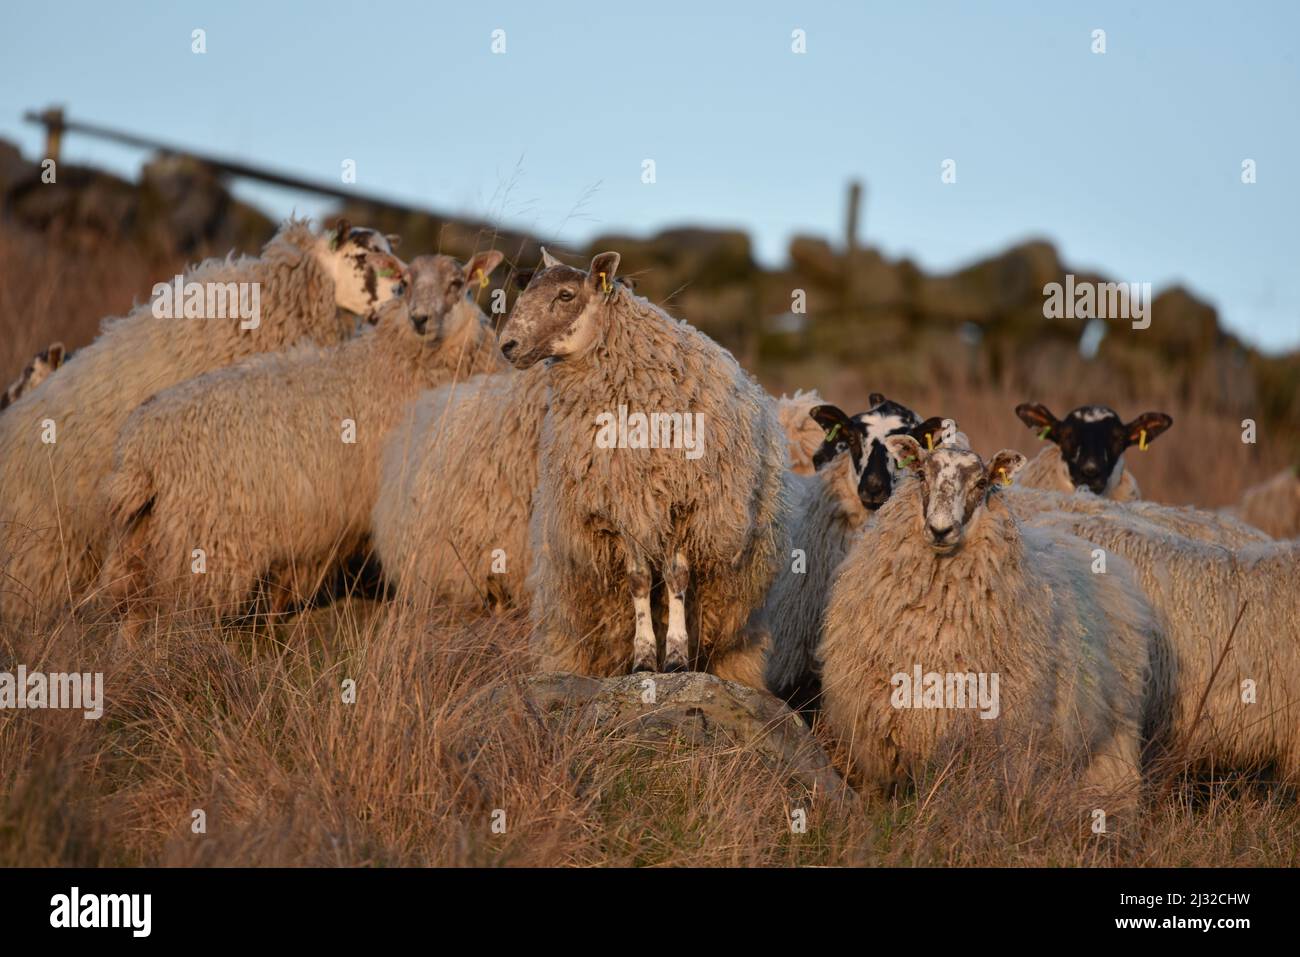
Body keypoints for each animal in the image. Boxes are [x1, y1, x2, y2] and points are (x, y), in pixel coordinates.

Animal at [99, 251, 505, 624]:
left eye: (456, 284)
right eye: (404, 283)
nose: (419, 318)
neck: (395, 361)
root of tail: (139, 448)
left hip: (140, 539)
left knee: (130, 613)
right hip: (204, 546)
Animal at [497, 248, 789, 684]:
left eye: (566, 295)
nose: (508, 345)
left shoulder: (683, 503)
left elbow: (676, 579)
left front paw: (677, 658)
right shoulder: (625, 505)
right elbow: (638, 582)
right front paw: (644, 658)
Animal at [819, 437, 1159, 804]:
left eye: (981, 484)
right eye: (921, 474)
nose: (940, 530)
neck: (934, 630)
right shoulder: (878, 736)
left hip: (1116, 731)